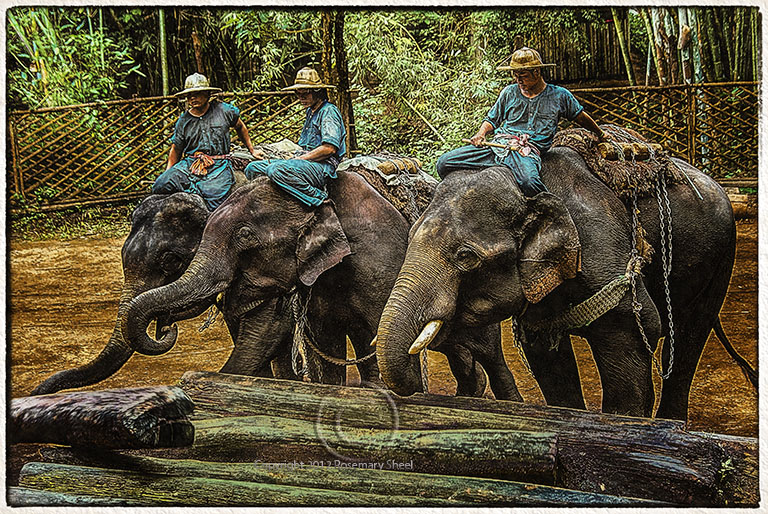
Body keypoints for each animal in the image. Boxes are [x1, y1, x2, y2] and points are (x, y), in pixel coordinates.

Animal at [121, 171, 521, 399]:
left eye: (246, 239)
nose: (164, 327)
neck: (322, 198)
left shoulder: (381, 259)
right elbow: (314, 342)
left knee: (488, 352)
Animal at [376, 148, 739, 420]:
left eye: (466, 256)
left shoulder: (604, 248)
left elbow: (636, 336)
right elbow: (549, 364)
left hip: (721, 255)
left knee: (690, 337)